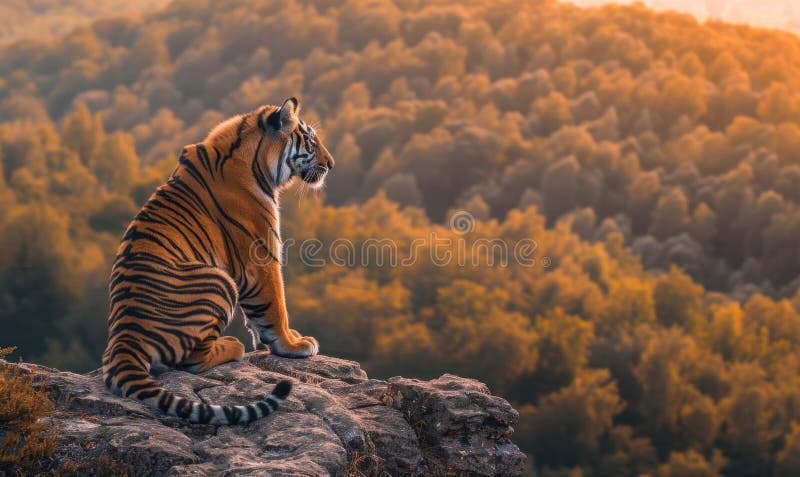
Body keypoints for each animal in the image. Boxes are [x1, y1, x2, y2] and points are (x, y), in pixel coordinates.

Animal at [102, 98, 334, 425]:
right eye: (311, 140)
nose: (331, 164)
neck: (256, 161)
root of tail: (124, 338)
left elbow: (258, 315)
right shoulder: (261, 257)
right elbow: (276, 306)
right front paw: (292, 345)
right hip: (217, 281)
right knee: (193, 360)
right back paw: (232, 346)